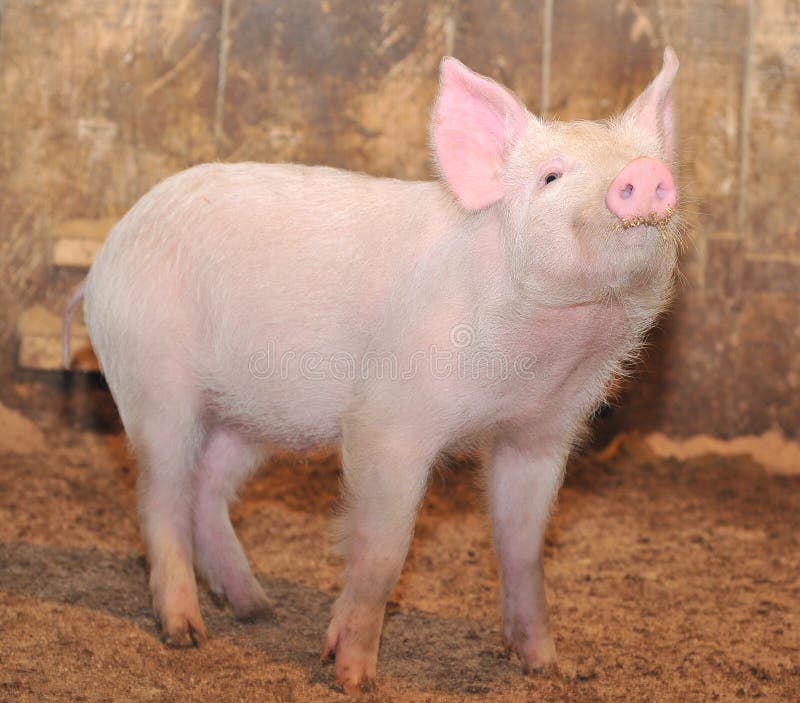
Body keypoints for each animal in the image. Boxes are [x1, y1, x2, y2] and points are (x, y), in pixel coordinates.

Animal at [68, 47, 683, 694]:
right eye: (551, 177)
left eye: (657, 163)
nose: (644, 174)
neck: (541, 360)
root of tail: (104, 258)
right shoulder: (388, 421)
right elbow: (384, 547)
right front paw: (351, 677)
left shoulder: (542, 431)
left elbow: (523, 544)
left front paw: (545, 667)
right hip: (151, 375)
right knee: (160, 493)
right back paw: (186, 632)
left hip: (252, 413)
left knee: (207, 485)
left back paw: (256, 607)